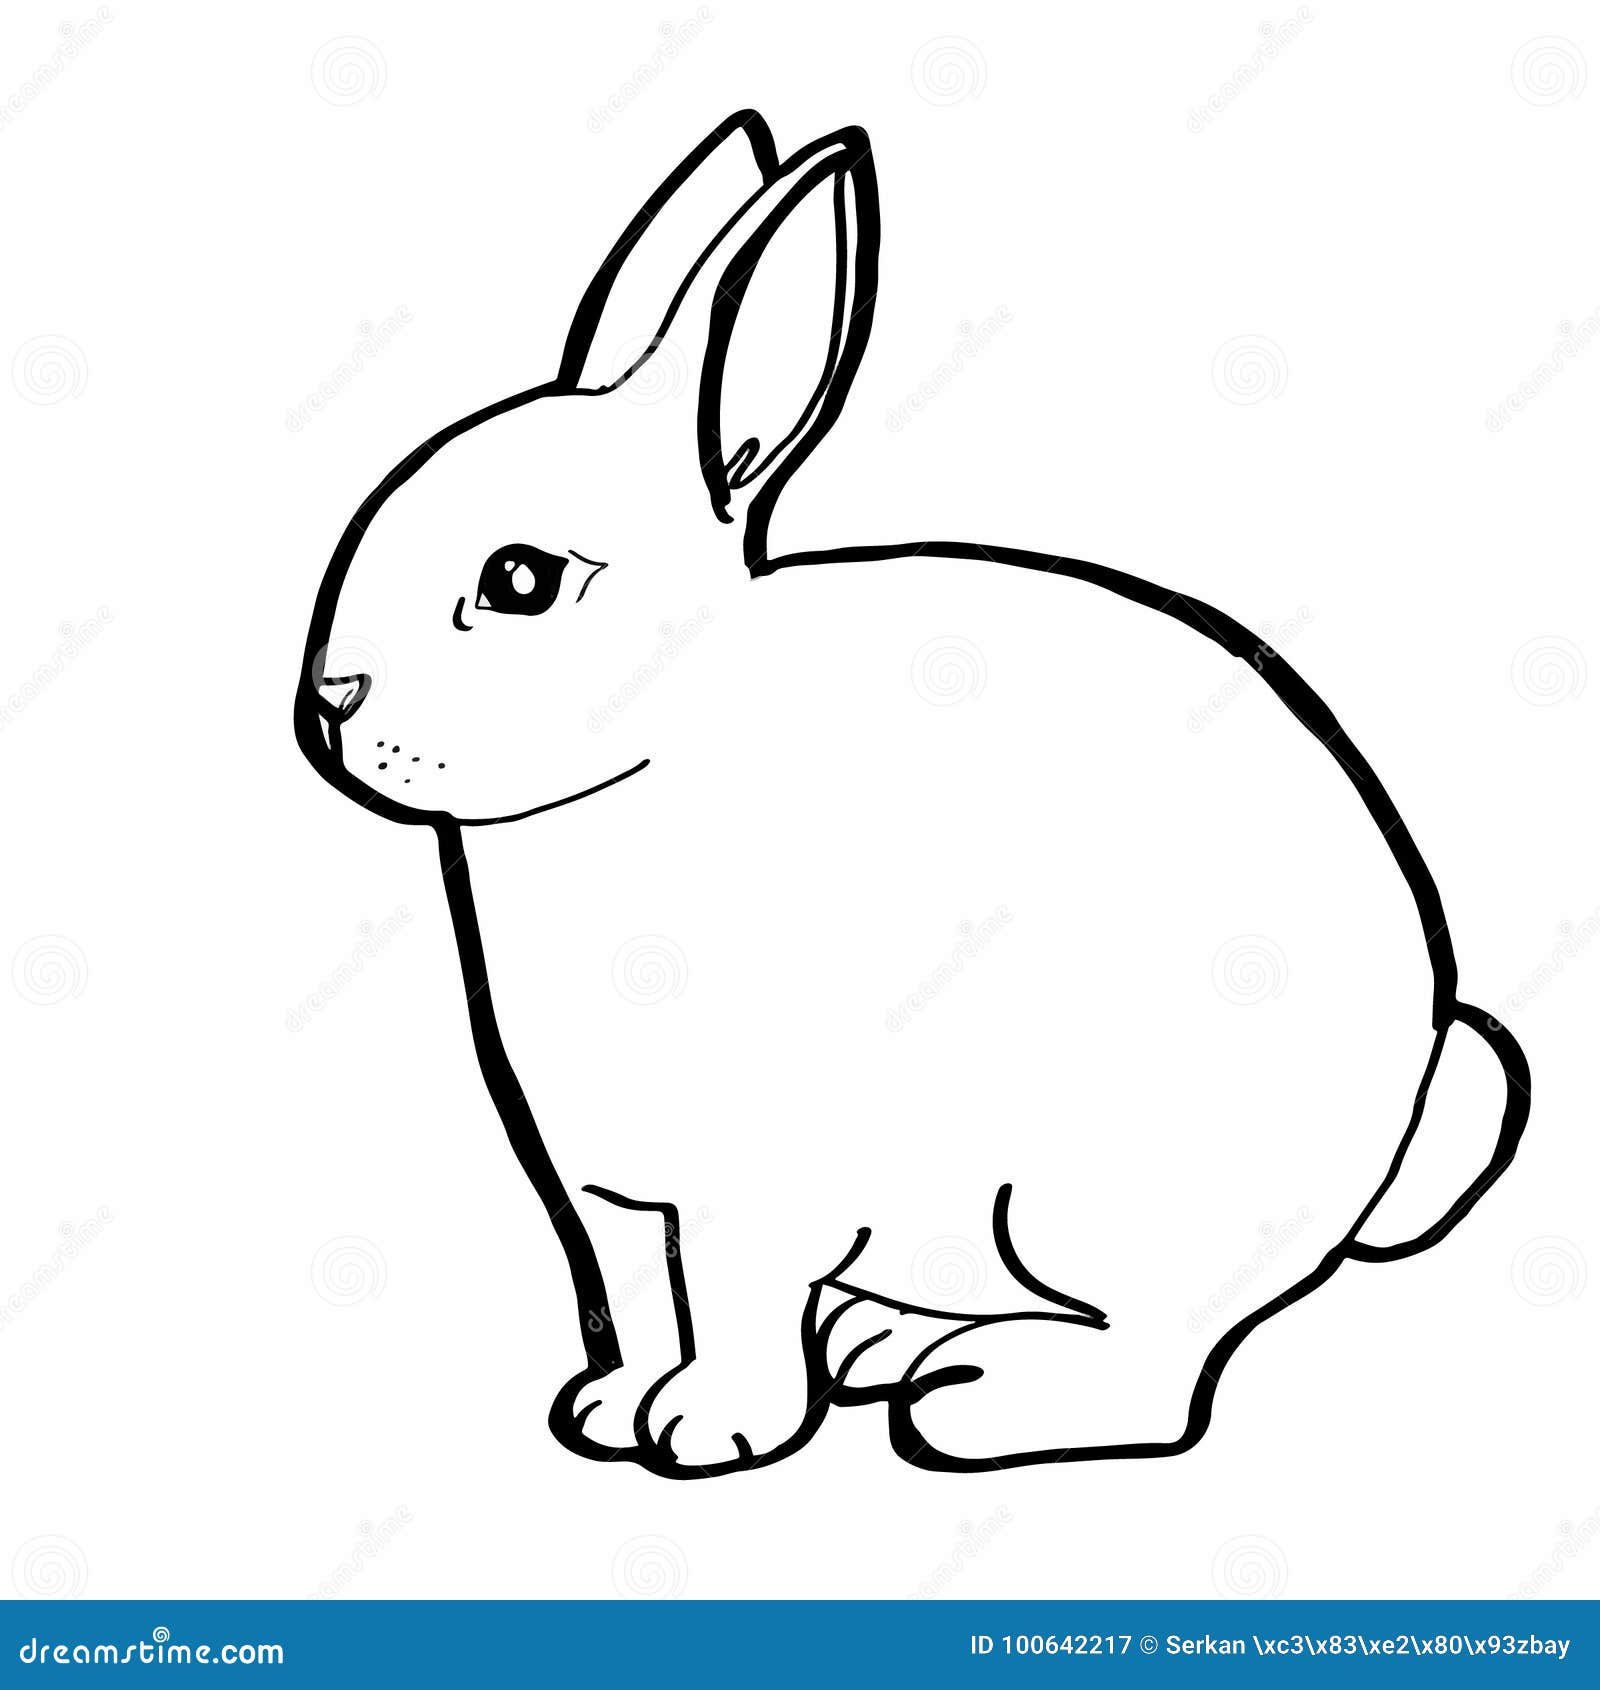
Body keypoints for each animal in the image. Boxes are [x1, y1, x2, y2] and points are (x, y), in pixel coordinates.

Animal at [295, 113, 1529, 1479]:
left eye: (519, 579)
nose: (328, 701)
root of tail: (1405, 1103)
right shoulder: (606, 1193)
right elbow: (635, 1294)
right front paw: (613, 1411)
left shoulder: (753, 1181)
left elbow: (729, 1298)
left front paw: (711, 1428)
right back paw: (884, 1343)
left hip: (1094, 1183)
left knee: (1162, 1368)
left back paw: (973, 1403)